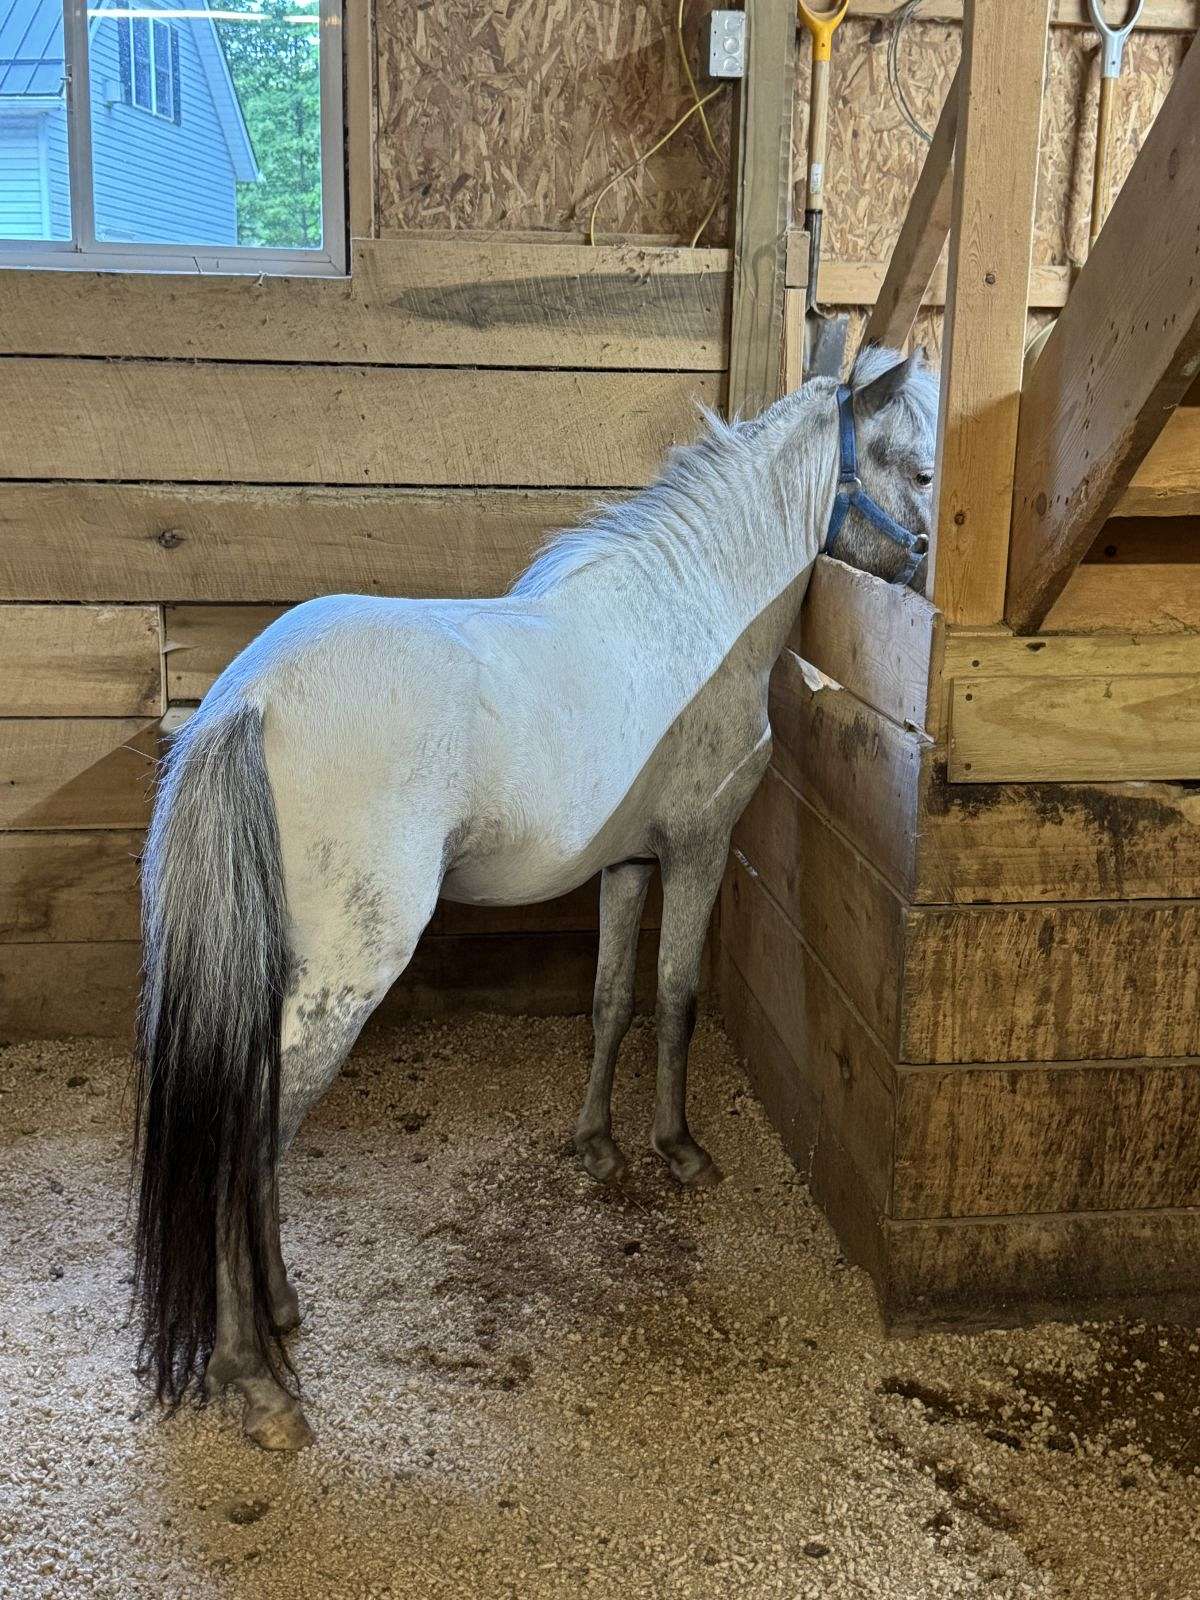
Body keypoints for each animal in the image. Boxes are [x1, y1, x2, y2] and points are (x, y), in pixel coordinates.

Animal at [133, 345, 938, 1451]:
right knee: (247, 1133)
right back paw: (253, 1376)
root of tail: (246, 702)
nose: (935, 576)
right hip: (336, 987)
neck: (697, 615)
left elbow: (611, 998)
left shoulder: (629, 865)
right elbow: (678, 997)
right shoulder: (698, 851)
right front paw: (678, 1149)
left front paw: (595, 1145)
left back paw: (278, 1312)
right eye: (923, 467)